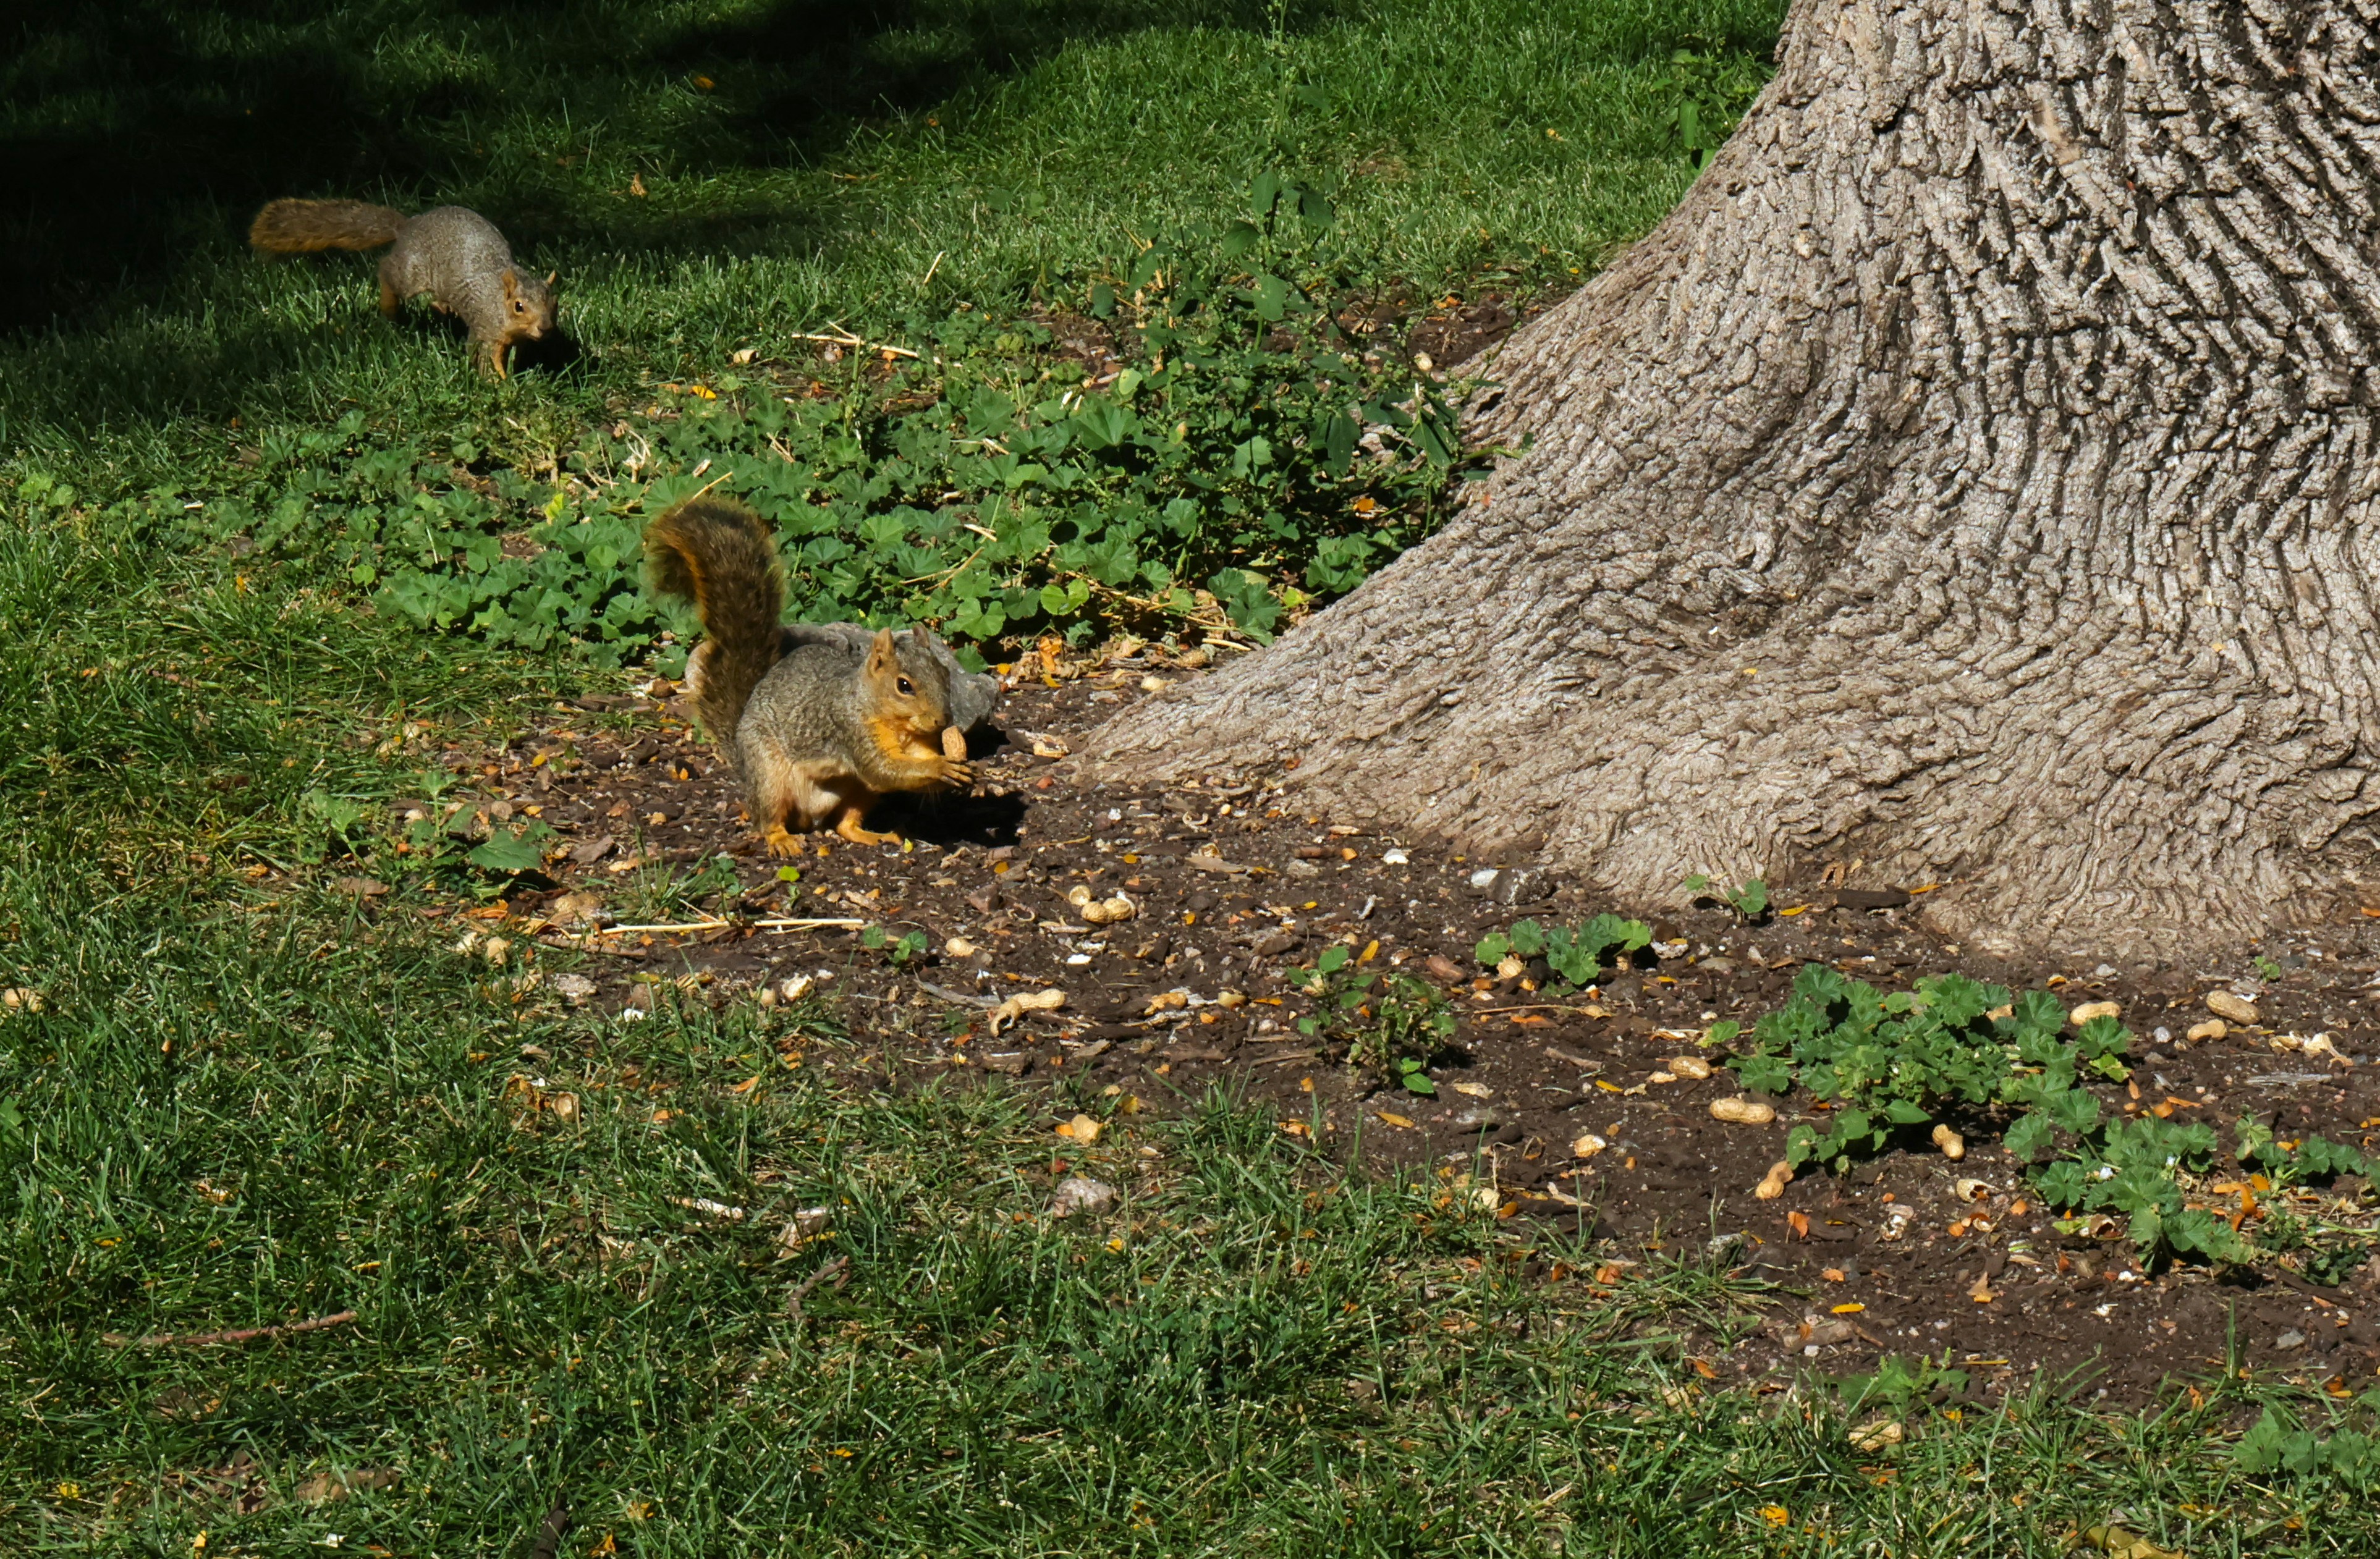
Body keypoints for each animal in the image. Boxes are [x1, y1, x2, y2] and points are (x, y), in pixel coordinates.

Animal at [249, 199, 556, 378]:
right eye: (519, 307)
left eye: (554, 304)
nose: (545, 328)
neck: (498, 303)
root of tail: (409, 225)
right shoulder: (484, 329)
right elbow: (483, 358)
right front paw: (497, 384)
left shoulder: (517, 340)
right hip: (412, 273)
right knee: (387, 270)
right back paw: (390, 309)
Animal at [642, 495, 980, 852]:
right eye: (904, 685)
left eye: (944, 675)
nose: (943, 720)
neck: (889, 718)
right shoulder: (850, 728)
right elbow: (882, 769)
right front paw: (941, 766)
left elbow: (910, 764)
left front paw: (956, 768)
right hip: (769, 775)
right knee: (768, 818)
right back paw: (781, 839)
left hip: (858, 793)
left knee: (845, 823)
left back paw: (871, 834)